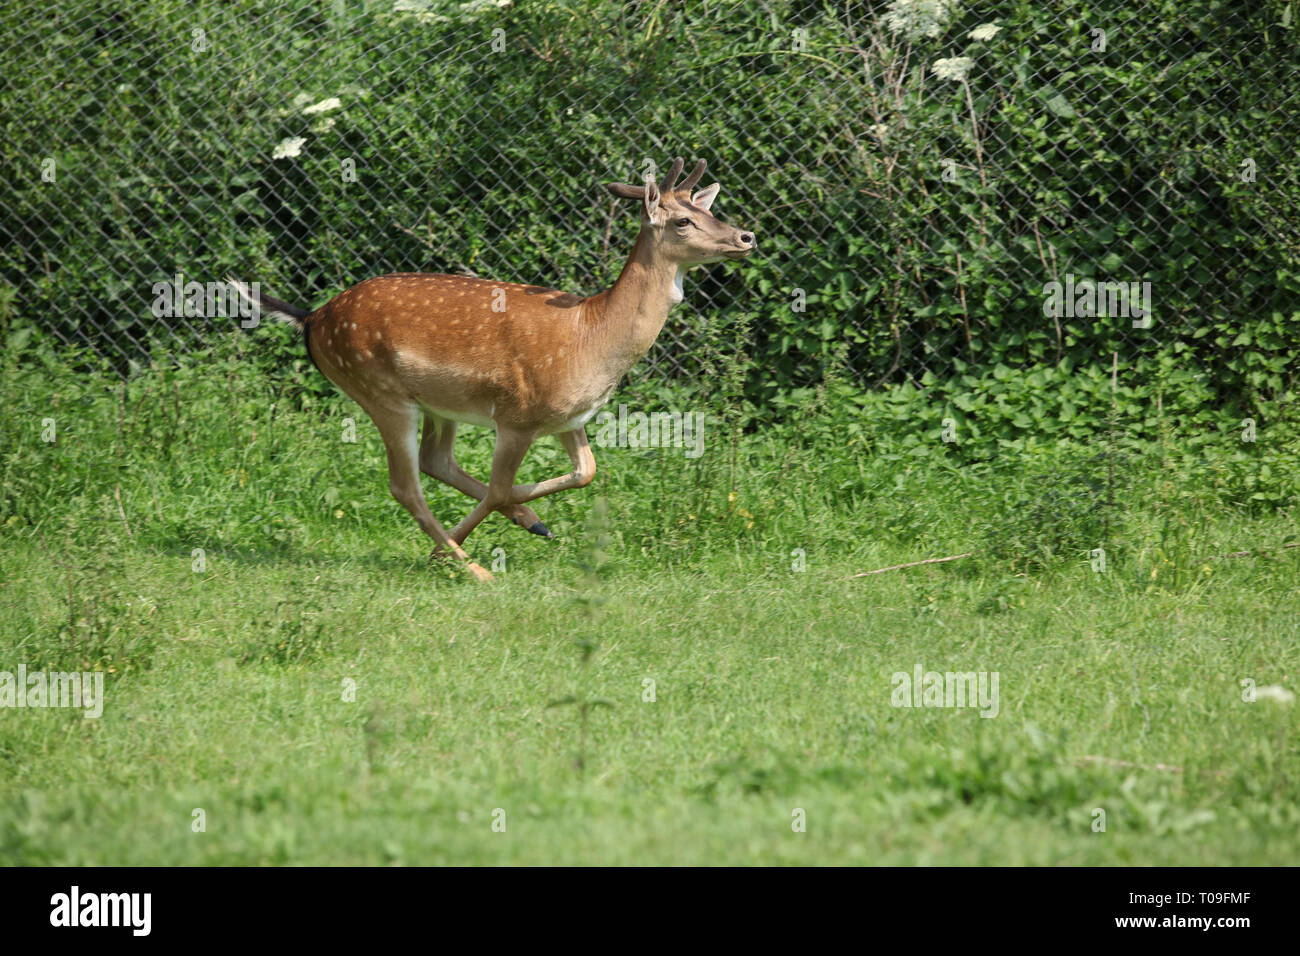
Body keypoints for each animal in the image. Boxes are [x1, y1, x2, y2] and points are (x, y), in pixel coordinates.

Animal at [229, 157, 756, 581]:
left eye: (710, 211)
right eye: (684, 220)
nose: (745, 236)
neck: (591, 336)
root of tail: (313, 318)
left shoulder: (569, 418)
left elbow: (585, 472)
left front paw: (526, 520)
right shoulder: (518, 415)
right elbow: (501, 489)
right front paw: (466, 543)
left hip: (438, 405)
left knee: (435, 460)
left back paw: (514, 528)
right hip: (379, 390)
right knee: (407, 485)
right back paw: (475, 567)